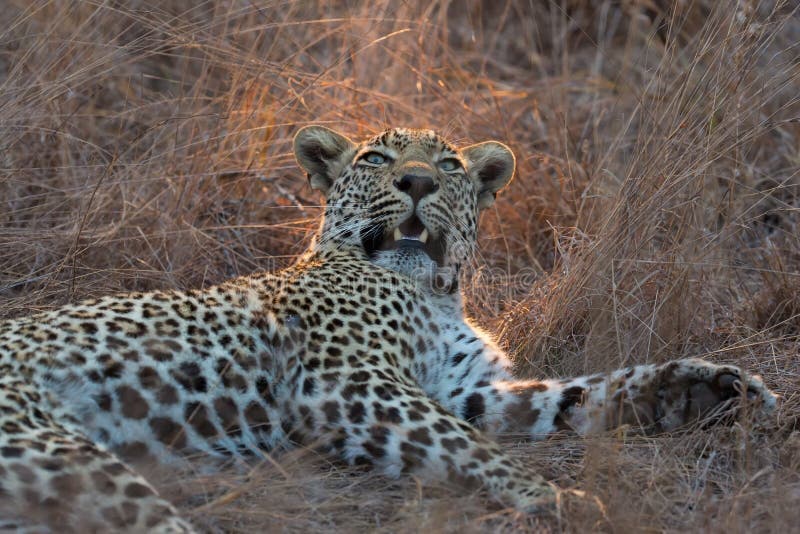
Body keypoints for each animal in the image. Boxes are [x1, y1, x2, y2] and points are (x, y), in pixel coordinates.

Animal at [0, 125, 778, 532]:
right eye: (378, 159)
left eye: (450, 166)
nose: (417, 183)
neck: (431, 293)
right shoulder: (349, 381)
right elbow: (468, 445)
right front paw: (555, 499)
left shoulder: (466, 390)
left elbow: (581, 394)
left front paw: (709, 388)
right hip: (64, 456)